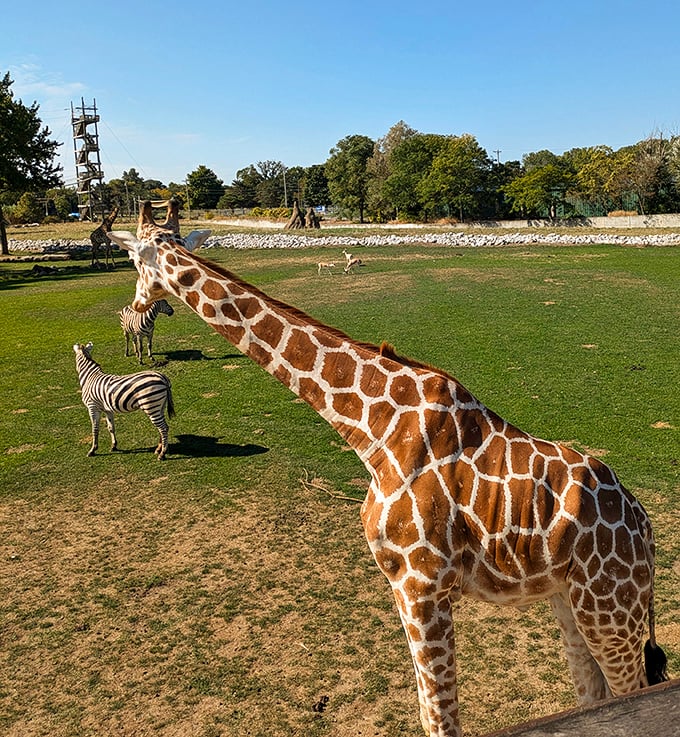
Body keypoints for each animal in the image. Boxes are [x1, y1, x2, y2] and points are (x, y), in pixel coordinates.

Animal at [108, 205, 668, 737]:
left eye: (135, 261)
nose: (136, 306)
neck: (371, 431)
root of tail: (645, 529)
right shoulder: (400, 585)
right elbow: (426, 711)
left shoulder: (423, 583)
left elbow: (441, 718)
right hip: (568, 600)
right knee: (593, 694)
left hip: (611, 606)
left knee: (635, 688)